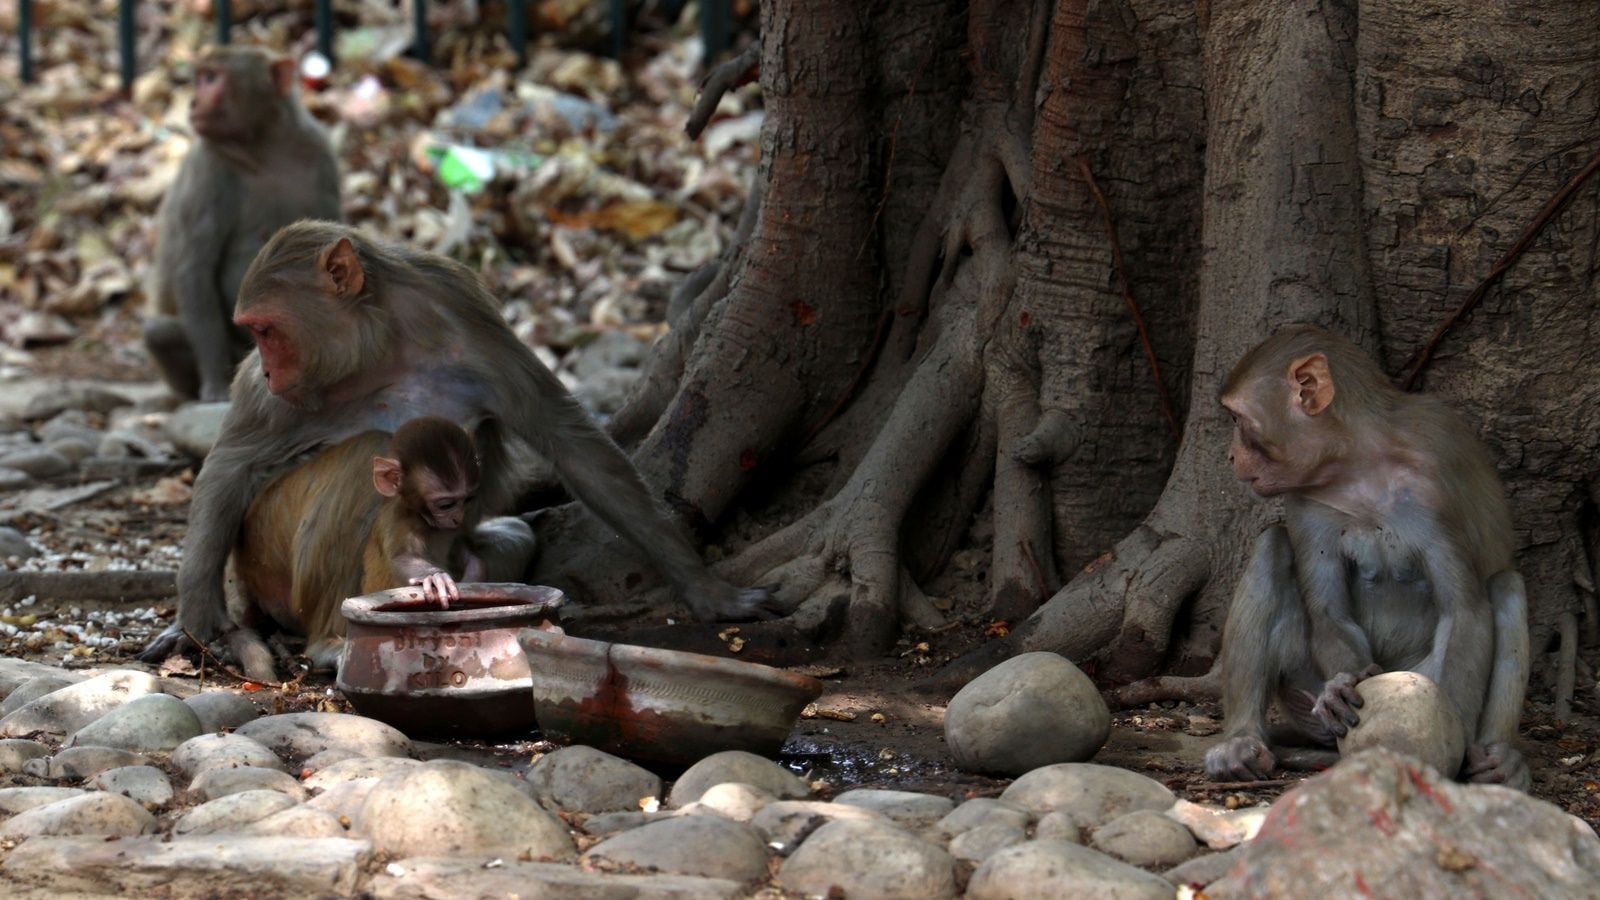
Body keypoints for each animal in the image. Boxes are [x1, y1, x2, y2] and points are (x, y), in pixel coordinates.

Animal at [141, 221, 785, 679]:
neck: (381, 345)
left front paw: (707, 590)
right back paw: (325, 641)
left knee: (513, 535)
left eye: (265, 330)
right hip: (263, 562)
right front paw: (195, 619)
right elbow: (233, 465)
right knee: (360, 457)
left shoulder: (465, 317)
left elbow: (571, 444)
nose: (270, 371)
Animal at [144, 45, 340, 402]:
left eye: (211, 77)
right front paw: (215, 386)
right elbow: (194, 270)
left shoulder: (319, 150)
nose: (193, 102)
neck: (263, 146)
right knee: (159, 333)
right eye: (201, 77)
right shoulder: (209, 167)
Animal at [1203, 324, 1530, 789]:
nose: (1231, 456)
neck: (1359, 466)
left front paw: (1456, 744)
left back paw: (1502, 760)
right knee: (1272, 547)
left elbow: (1464, 611)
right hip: (1301, 694)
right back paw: (1240, 743)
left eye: (1236, 419)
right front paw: (1342, 688)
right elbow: (1330, 612)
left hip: (1425, 671)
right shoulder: (1306, 500)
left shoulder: (1434, 481)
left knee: (1505, 586)